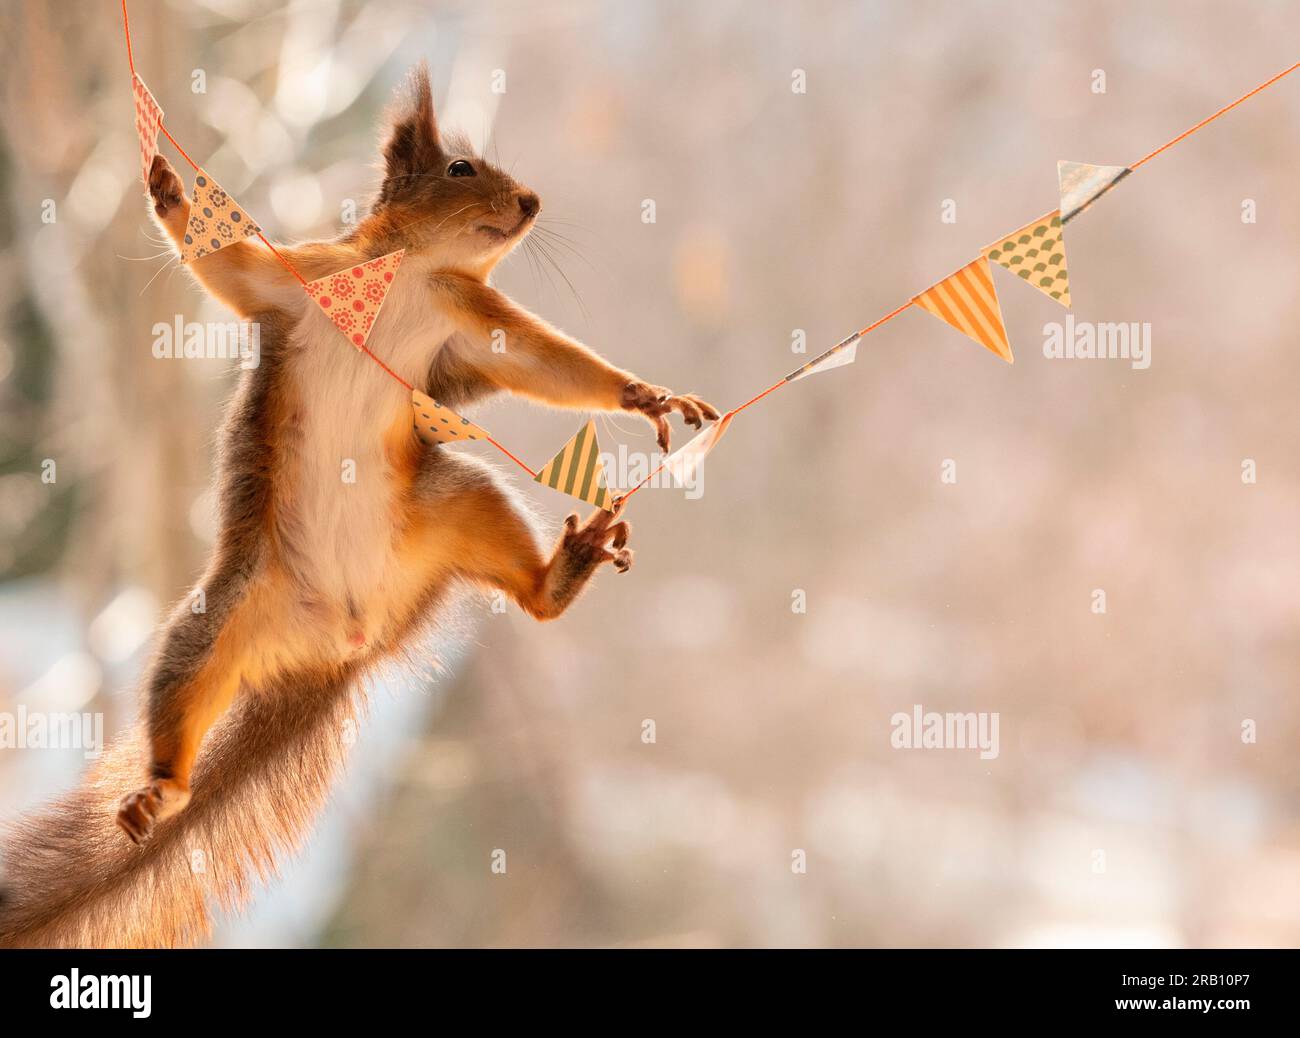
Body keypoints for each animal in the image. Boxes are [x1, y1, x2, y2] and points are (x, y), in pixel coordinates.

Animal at [0, 65, 717, 947]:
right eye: (459, 169)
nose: (532, 202)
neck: (408, 269)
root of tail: (347, 645)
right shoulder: (298, 277)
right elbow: (227, 265)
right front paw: (168, 192)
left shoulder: (475, 328)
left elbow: (555, 365)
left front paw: (643, 395)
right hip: (217, 624)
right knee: (183, 702)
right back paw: (163, 788)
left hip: (461, 504)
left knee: (533, 597)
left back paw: (566, 570)